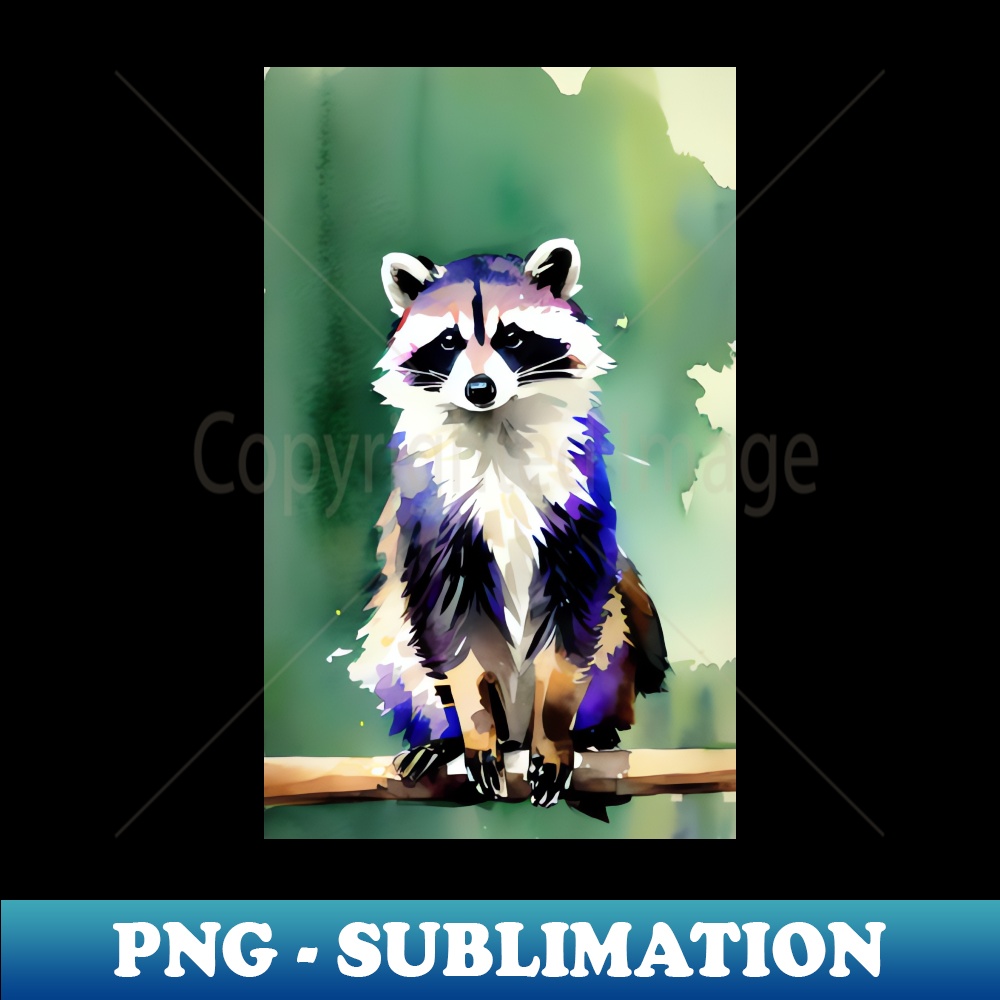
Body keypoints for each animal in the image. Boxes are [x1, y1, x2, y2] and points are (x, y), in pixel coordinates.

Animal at [351, 238, 669, 809]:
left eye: (513, 337)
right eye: (449, 341)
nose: (480, 387)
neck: (492, 424)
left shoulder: (577, 507)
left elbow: (573, 629)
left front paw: (557, 736)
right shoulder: (433, 520)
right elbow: (449, 631)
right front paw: (476, 732)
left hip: (624, 634)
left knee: (622, 616)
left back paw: (590, 729)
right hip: (398, 641)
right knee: (401, 646)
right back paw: (447, 738)